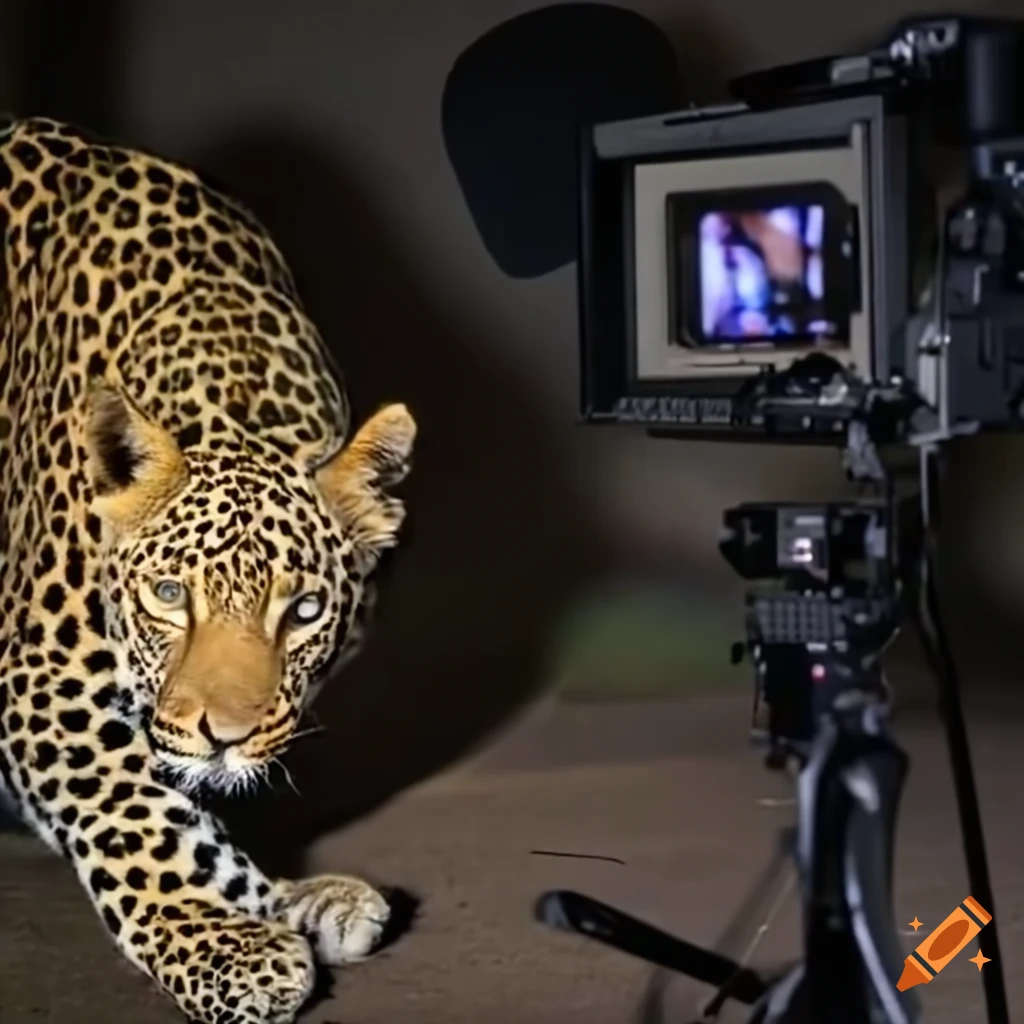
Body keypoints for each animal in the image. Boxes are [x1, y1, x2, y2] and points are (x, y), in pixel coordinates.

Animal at [0, 116, 418, 1023]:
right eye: (167, 596)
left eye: (302, 613)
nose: (220, 736)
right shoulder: (40, 679)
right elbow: (137, 815)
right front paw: (225, 945)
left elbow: (185, 812)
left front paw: (289, 900)